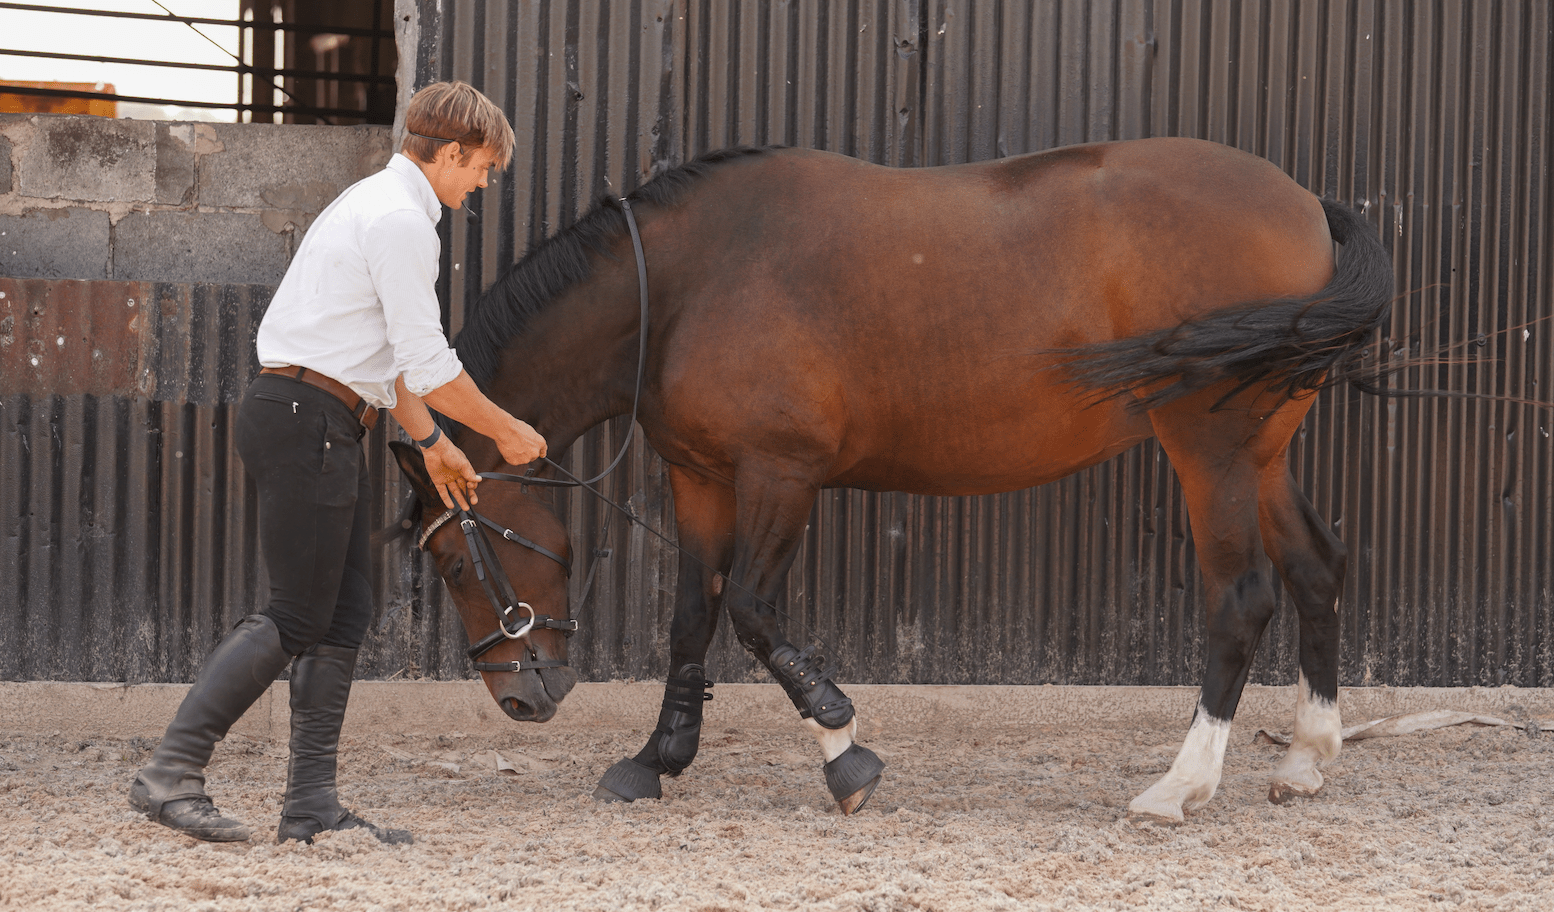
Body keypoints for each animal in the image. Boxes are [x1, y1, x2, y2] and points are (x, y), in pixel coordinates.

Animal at [390, 137, 1393, 822]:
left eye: (453, 564)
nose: (522, 699)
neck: (685, 283)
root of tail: (1305, 202)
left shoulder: (781, 473)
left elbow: (752, 613)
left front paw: (844, 749)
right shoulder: (702, 478)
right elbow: (692, 620)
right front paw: (658, 757)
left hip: (1210, 450)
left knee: (1244, 597)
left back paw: (1180, 785)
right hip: (1261, 455)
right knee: (1318, 568)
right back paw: (1305, 757)